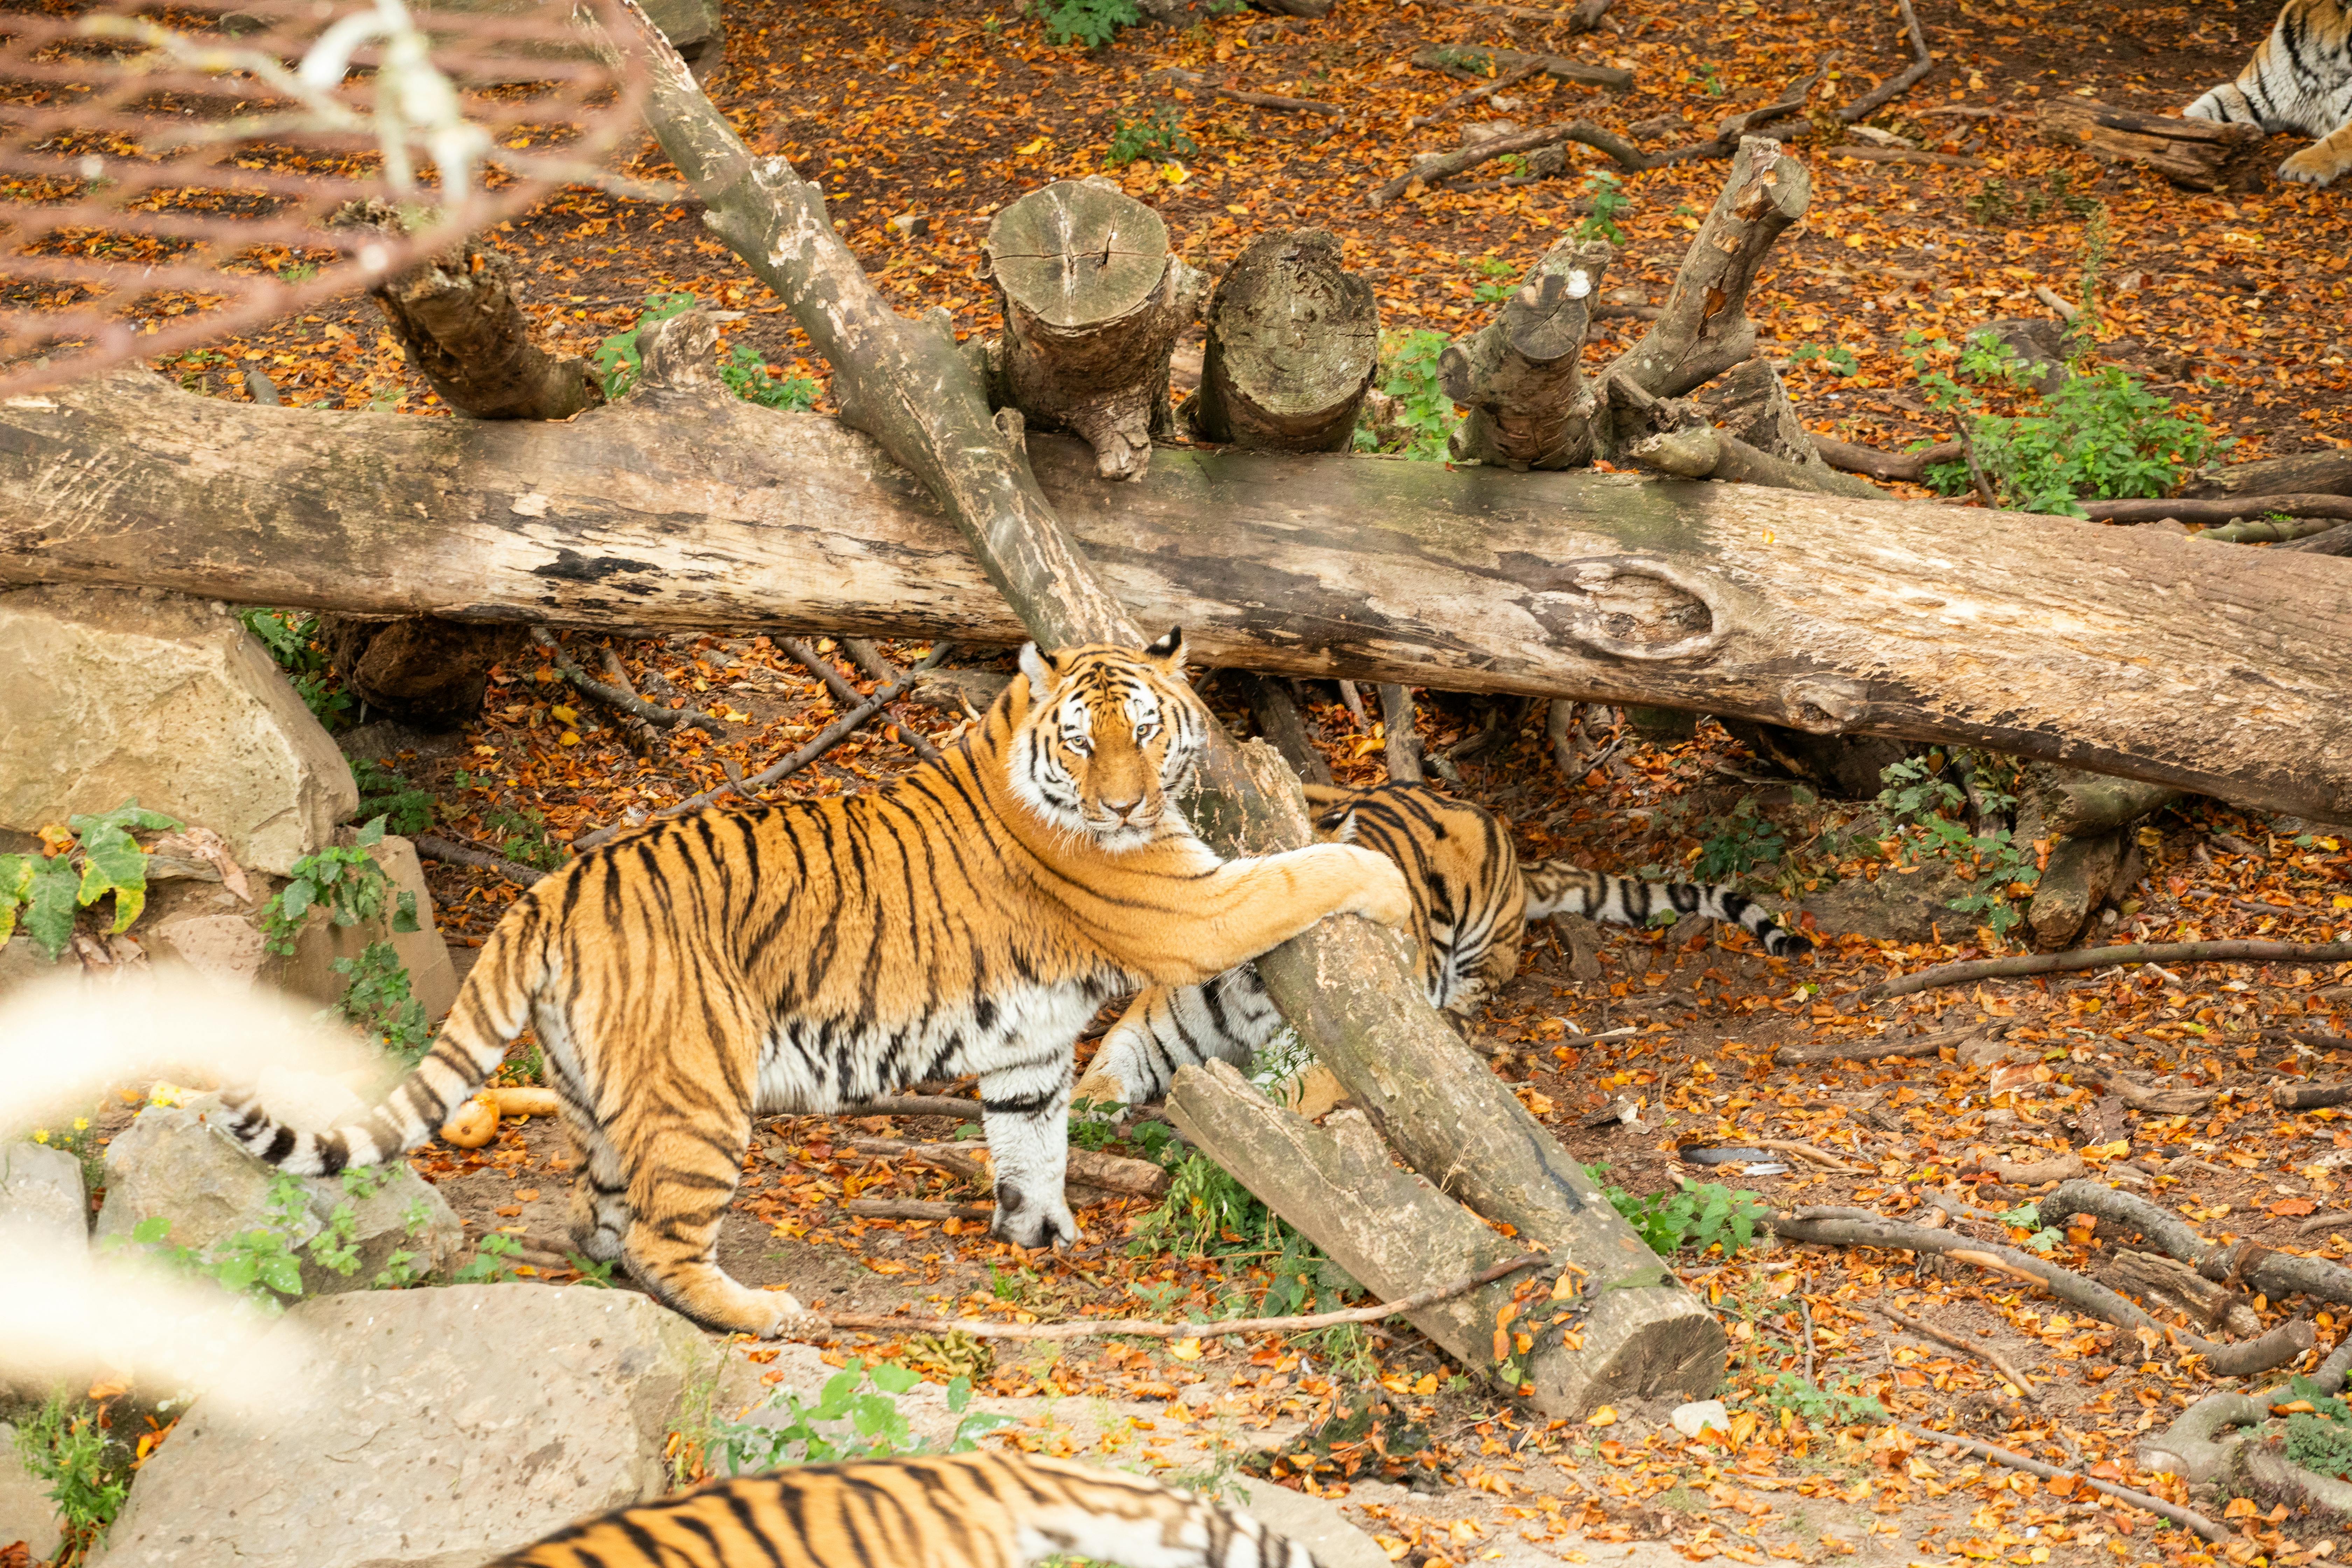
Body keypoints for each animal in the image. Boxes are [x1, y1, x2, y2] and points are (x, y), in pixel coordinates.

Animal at [217, 631, 1413, 1337]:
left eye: (1148, 731)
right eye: (1083, 742)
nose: (1122, 805)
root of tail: (554, 887)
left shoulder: (1029, 1041)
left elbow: (1030, 1131)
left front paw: (1039, 1233)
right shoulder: (1188, 907)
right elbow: (1297, 870)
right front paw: (1391, 888)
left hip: (598, 1096)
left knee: (599, 1219)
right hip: (696, 1087)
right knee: (662, 1238)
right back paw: (767, 1313)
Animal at [1074, 780, 1809, 1107]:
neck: (1254, 995)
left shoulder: (1343, 1057)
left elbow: (1285, 1095)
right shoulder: (1148, 1027)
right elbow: (1099, 1073)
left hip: (1481, 930)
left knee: (1477, 991)